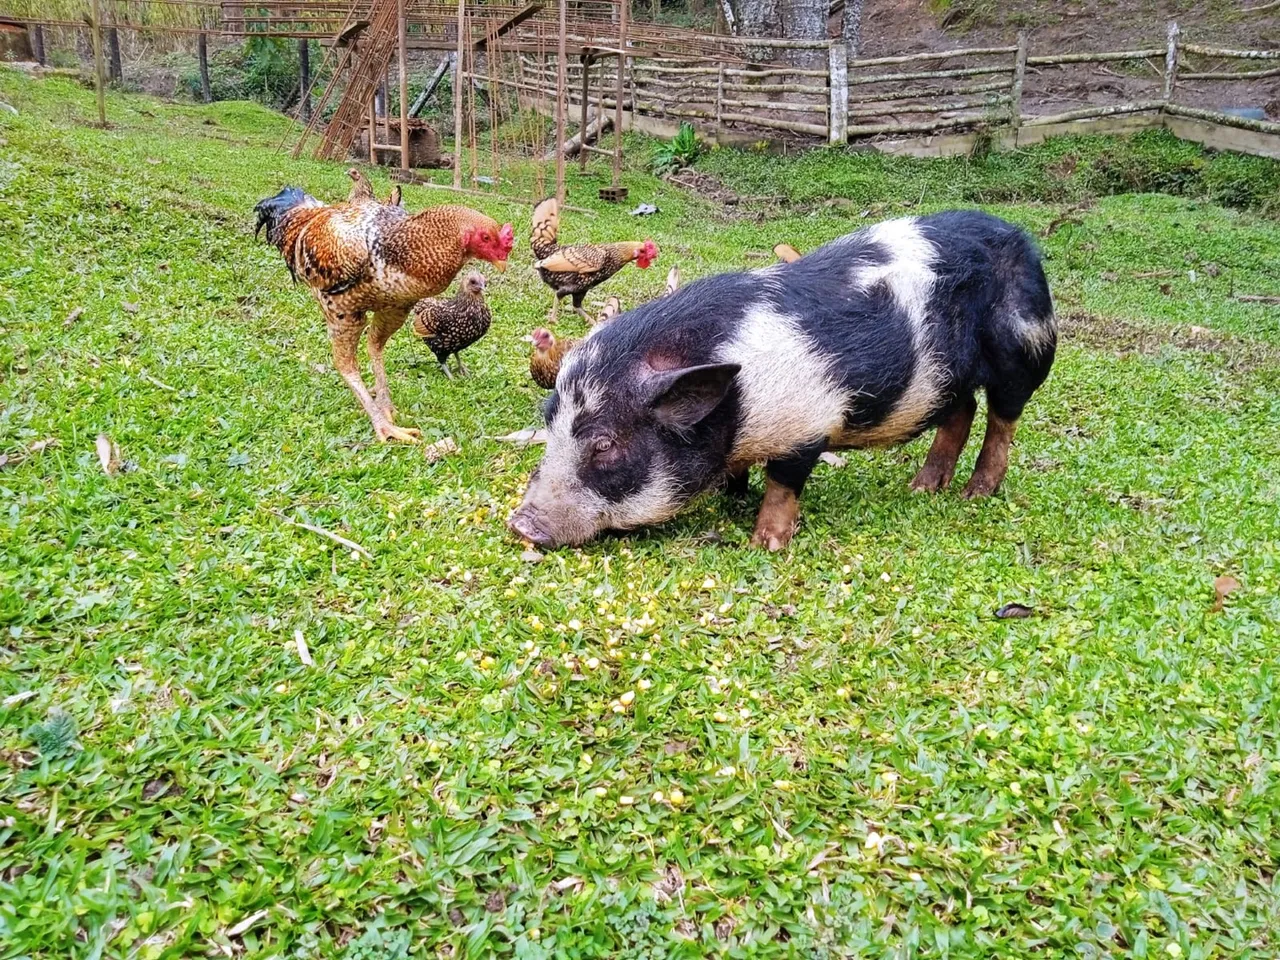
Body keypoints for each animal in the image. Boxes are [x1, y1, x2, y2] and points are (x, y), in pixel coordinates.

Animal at [508, 211, 1056, 551]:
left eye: (604, 446)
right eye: (550, 425)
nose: (521, 524)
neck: (738, 402)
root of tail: (1021, 237)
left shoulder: (807, 423)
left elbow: (783, 481)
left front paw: (764, 543)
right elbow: (737, 475)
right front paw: (731, 501)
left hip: (1025, 347)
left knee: (1003, 419)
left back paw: (974, 495)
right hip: (947, 378)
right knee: (962, 411)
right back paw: (922, 489)